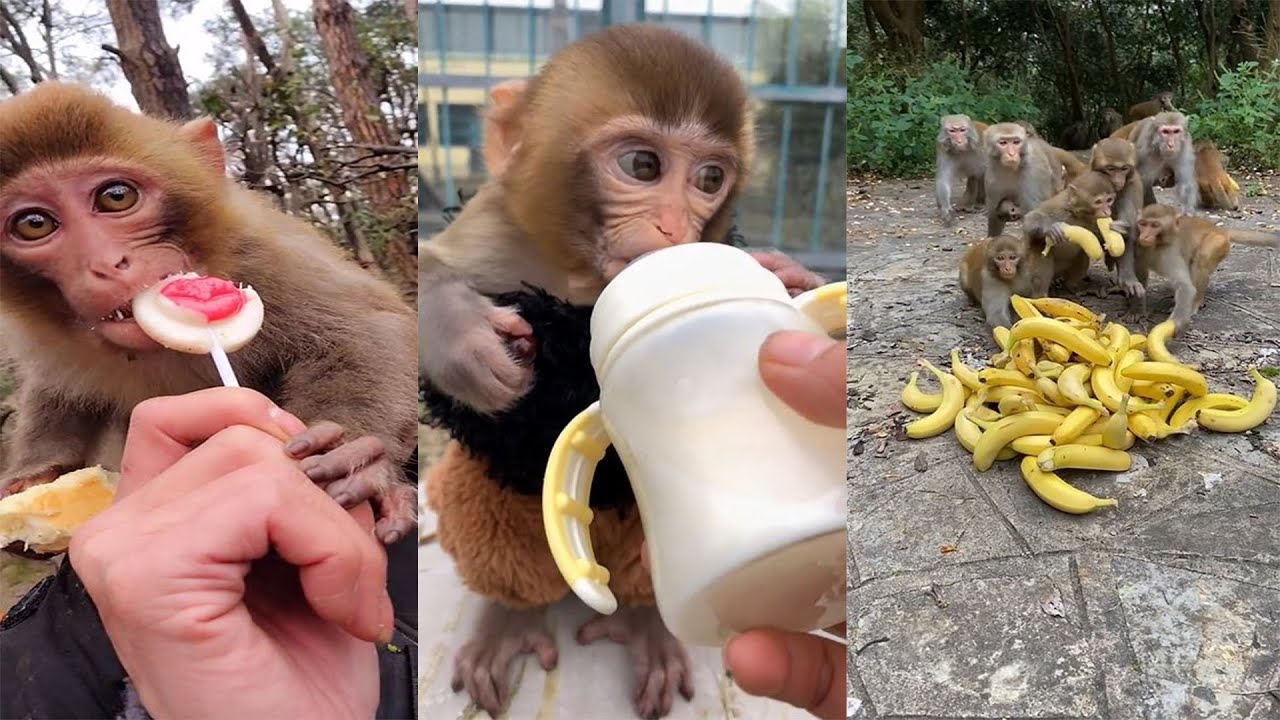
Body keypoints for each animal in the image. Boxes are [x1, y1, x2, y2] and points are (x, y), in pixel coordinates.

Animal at [0, 83, 418, 545]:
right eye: (34, 224)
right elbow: (55, 392)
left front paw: (351, 454)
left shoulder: (261, 258)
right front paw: (37, 473)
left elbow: (364, 329)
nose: (107, 263)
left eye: (116, 197)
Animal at [417, 25, 825, 718]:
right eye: (643, 167)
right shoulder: (487, 235)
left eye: (710, 177)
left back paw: (643, 622)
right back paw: (511, 618)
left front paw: (791, 276)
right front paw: (460, 335)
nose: (676, 226)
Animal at [1129, 203, 1279, 329]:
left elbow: (1185, 286)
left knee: (1201, 260)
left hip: (1217, 243)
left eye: (1155, 225)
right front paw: (1137, 309)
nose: (1145, 236)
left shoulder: (1170, 252)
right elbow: (1139, 276)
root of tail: (1220, 230)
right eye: (1143, 224)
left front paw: (1177, 322)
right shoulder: (1138, 247)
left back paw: (1195, 302)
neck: (1156, 244)